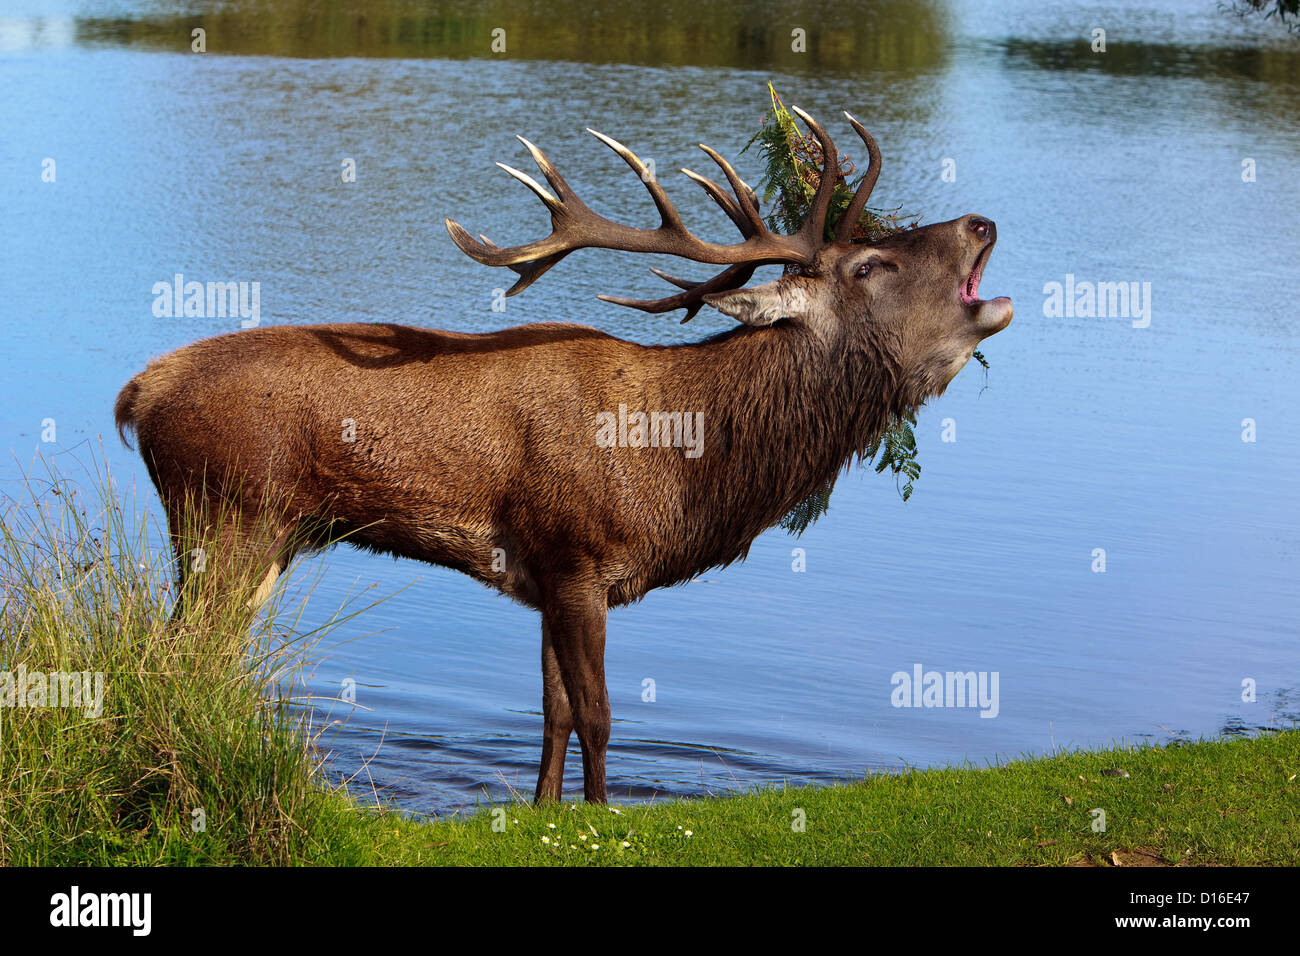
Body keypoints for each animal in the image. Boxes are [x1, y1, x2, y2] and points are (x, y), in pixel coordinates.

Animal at [115, 106, 1012, 804]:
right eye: (869, 263)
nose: (981, 221)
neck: (681, 468)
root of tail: (138, 394)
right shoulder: (581, 554)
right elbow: (599, 715)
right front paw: (603, 812)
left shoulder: (545, 570)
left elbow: (551, 712)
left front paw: (545, 808)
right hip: (226, 517)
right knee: (178, 657)